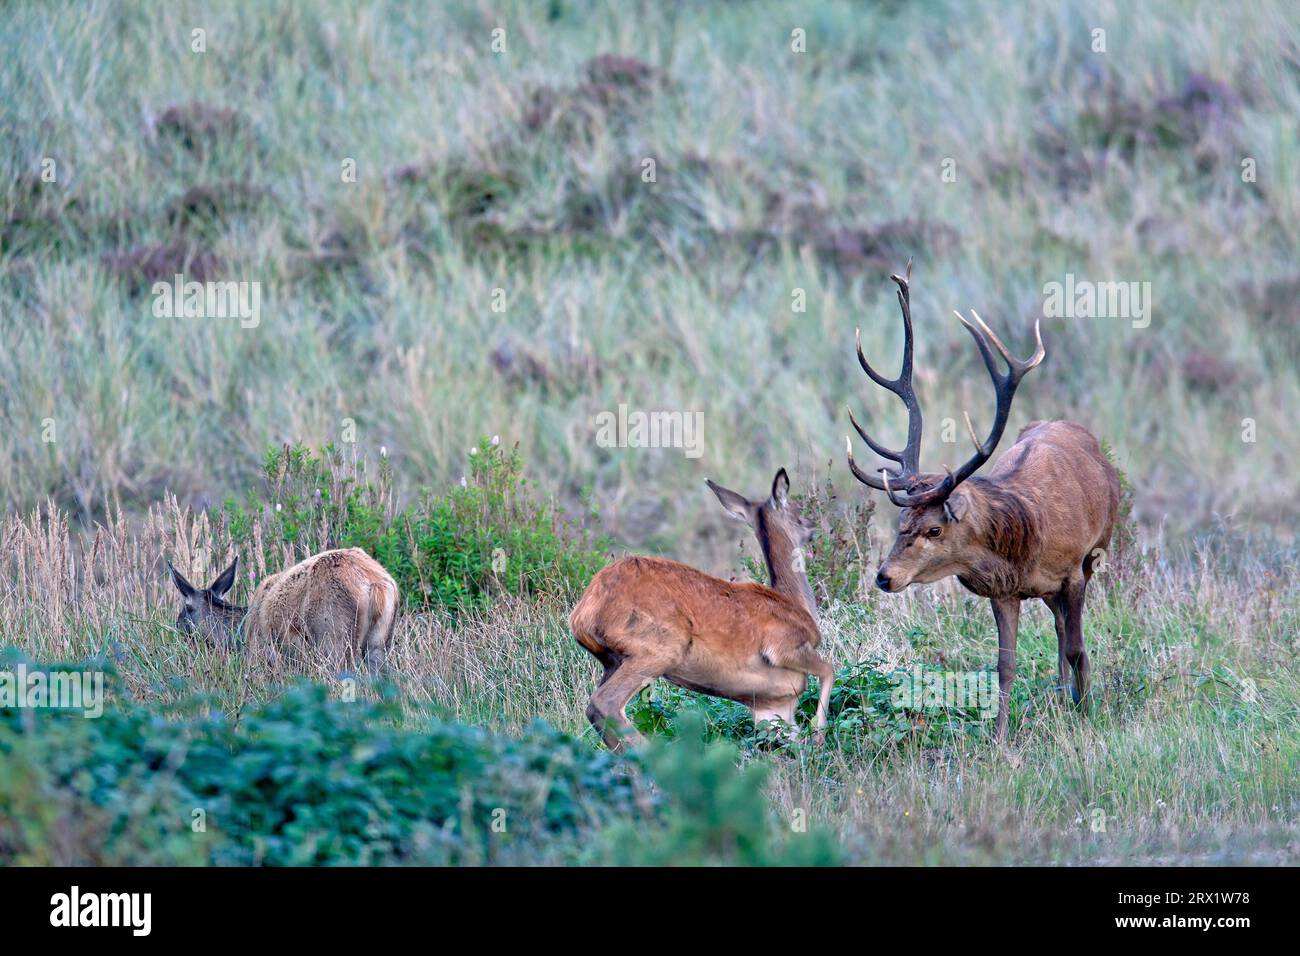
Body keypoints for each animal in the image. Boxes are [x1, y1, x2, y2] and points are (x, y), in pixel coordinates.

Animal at [166, 547, 400, 670]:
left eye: (183, 614)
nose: (177, 631)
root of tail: (376, 585)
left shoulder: (261, 657)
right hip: (378, 643)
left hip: (333, 638)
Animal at [570, 469, 834, 752]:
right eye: (796, 510)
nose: (812, 526)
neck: (796, 604)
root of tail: (584, 613)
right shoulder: (784, 648)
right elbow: (829, 668)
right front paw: (819, 735)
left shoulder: (772, 708)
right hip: (657, 652)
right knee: (604, 704)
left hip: (611, 661)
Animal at [845, 264, 1120, 742]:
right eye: (901, 523)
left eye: (935, 528)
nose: (884, 577)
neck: (1028, 538)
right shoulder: (1005, 591)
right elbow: (1005, 665)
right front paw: (1000, 736)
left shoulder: (1074, 570)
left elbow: (1077, 647)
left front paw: (1088, 714)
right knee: (1057, 625)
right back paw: (1060, 695)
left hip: (1095, 552)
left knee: (1067, 634)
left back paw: (1073, 698)